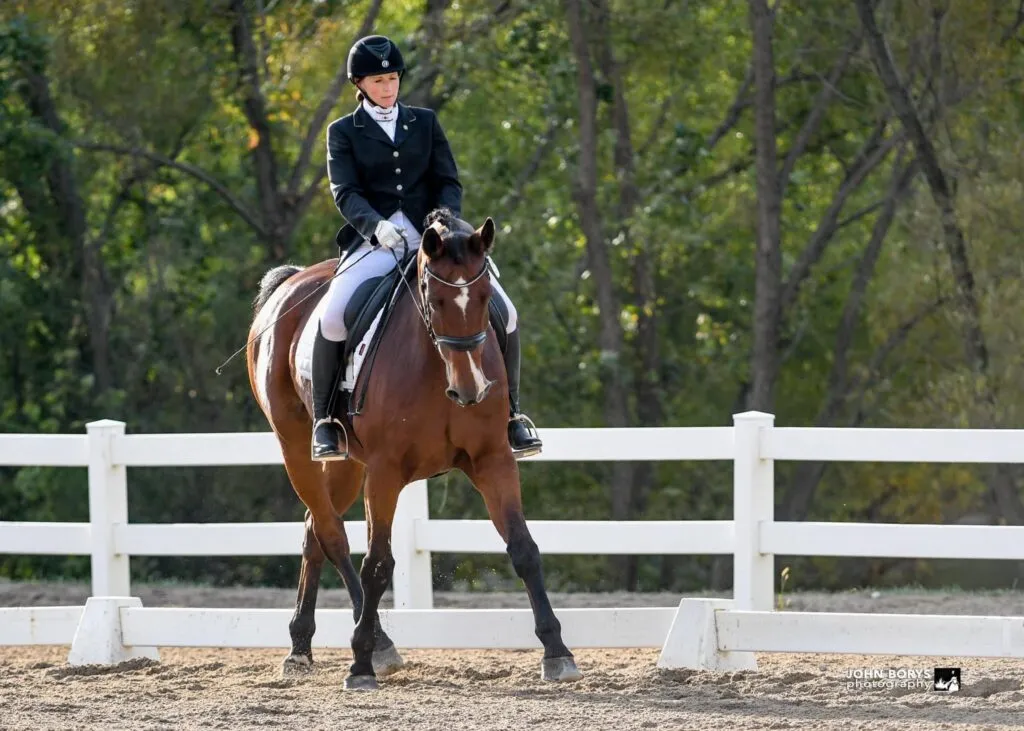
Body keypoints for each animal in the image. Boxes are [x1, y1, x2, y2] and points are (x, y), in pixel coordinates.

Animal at [245, 210, 582, 690]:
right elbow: (377, 564)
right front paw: (360, 665)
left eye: (485, 297)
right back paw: (378, 645)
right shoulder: (386, 472)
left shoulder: (493, 461)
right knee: (333, 534)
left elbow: (524, 549)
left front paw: (557, 652)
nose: (471, 390)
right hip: (294, 446)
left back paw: (301, 647)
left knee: (315, 529)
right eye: (433, 298)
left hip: (348, 464)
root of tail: (290, 283)